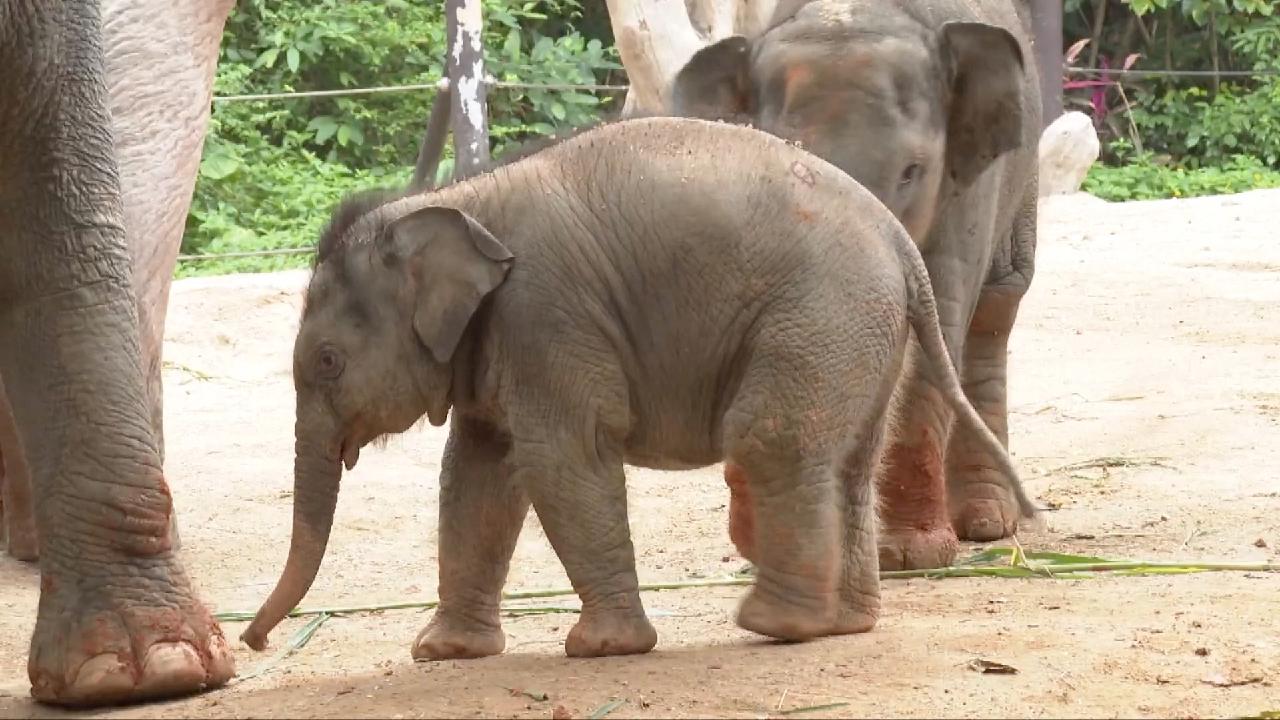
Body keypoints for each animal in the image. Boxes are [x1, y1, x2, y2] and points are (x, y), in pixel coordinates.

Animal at [239, 116, 1037, 659]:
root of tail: (900, 243)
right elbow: (476, 475)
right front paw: (443, 653)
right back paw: (844, 624)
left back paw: (773, 625)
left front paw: (599, 649)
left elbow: (561, 459)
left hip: (821, 314)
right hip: (864, 335)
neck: (456, 200)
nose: (253, 642)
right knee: (848, 460)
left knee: (771, 439)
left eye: (328, 362)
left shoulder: (546, 315)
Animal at [669, 0, 1043, 570]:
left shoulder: (965, 190)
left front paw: (910, 555)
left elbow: (934, 334)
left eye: (912, 171)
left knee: (995, 312)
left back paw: (986, 523)